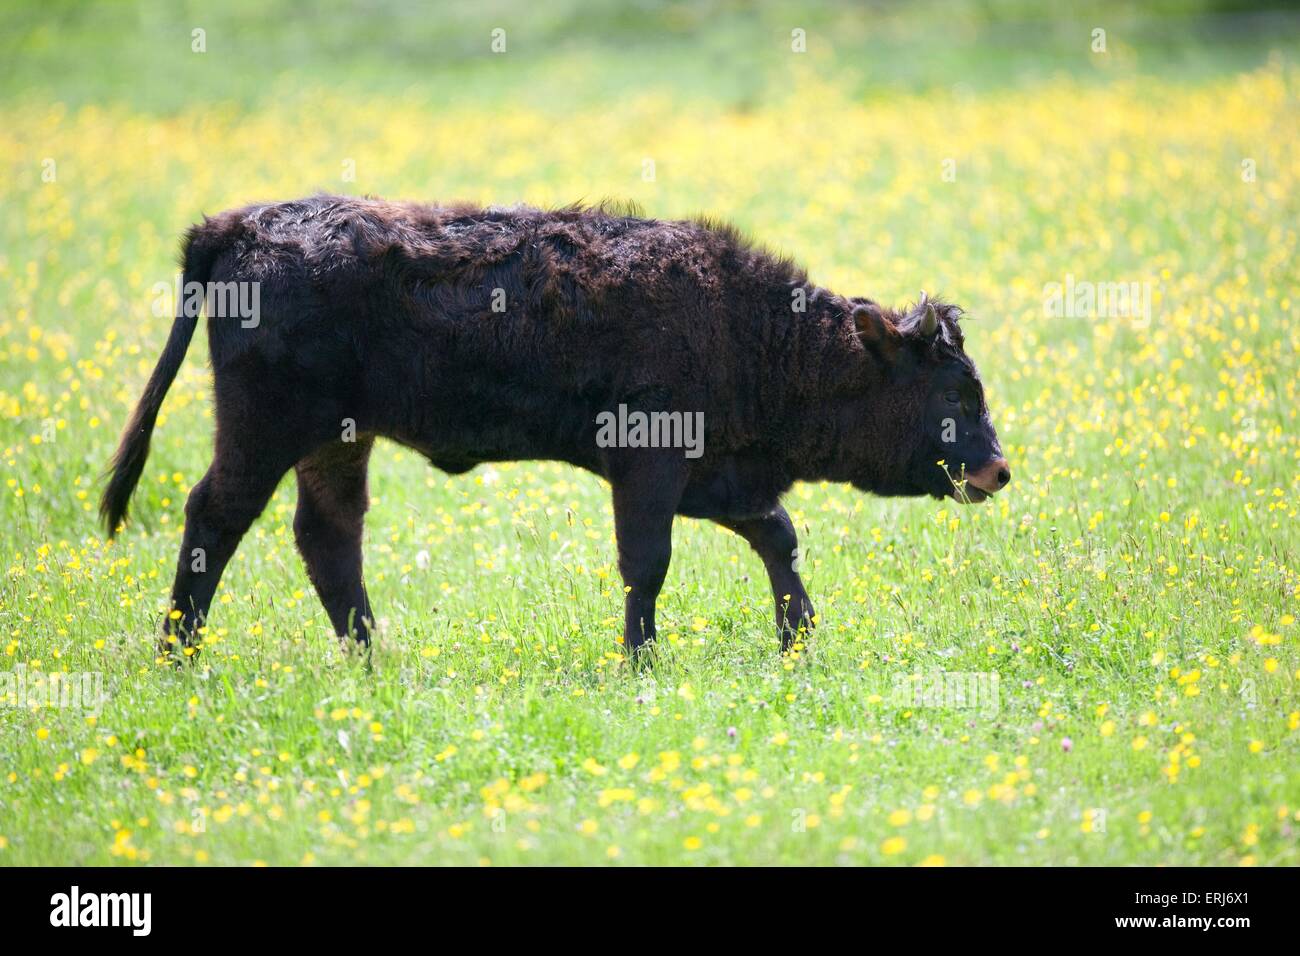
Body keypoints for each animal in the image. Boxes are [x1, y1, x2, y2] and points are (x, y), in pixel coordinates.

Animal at [101, 195, 1009, 658]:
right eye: (956, 392)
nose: (999, 469)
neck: (742, 325)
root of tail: (237, 225)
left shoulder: (711, 474)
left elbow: (775, 533)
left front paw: (799, 638)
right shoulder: (649, 463)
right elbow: (648, 564)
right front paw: (641, 659)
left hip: (337, 440)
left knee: (328, 536)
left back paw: (371, 656)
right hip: (264, 430)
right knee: (215, 516)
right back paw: (179, 656)